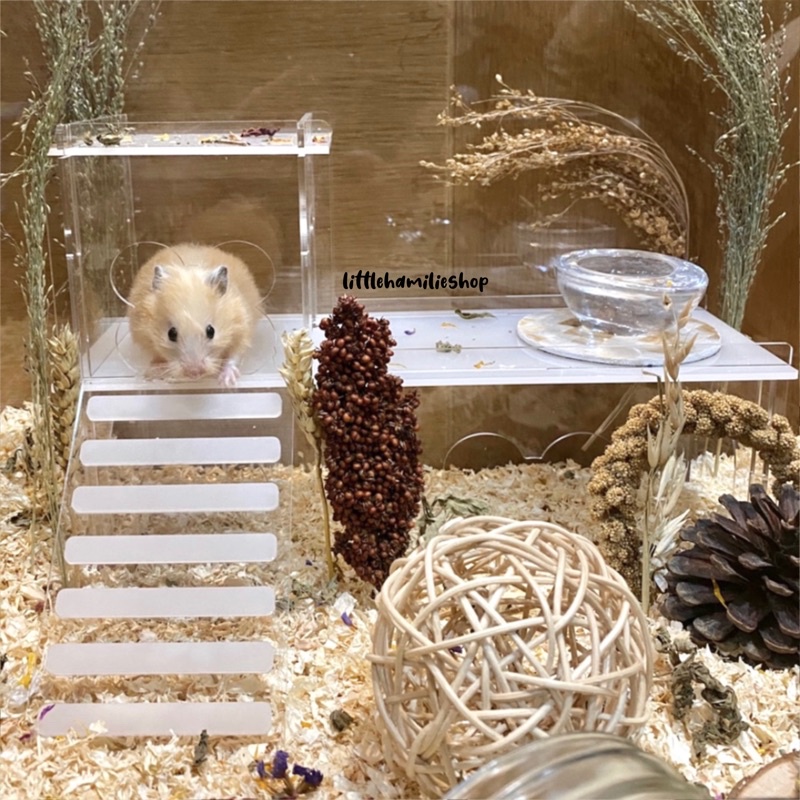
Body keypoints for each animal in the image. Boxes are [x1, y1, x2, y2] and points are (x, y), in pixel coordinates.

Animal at [127, 243, 263, 387]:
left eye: (211, 331)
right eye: (171, 334)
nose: (194, 373)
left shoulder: (242, 326)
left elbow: (234, 355)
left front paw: (226, 382)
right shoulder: (142, 333)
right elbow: (155, 356)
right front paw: (152, 374)